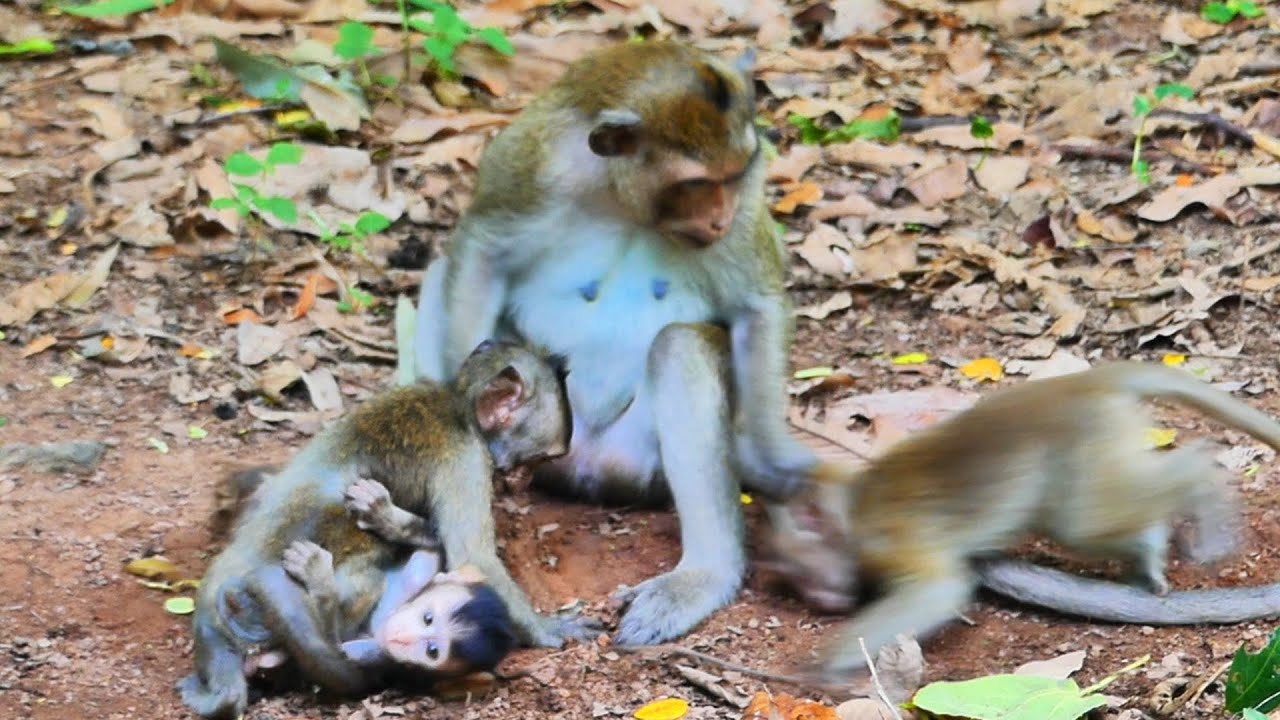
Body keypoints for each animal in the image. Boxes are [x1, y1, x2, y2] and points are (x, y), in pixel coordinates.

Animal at [177, 340, 586, 719]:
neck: (456, 402)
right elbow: (474, 556)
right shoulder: (467, 456)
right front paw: (549, 629)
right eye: (537, 460)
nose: (523, 483)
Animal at [412, 39, 855, 648]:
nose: (719, 218)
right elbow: (481, 252)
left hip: (639, 463)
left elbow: (755, 306)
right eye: (695, 184)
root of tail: (585, 464)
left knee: (681, 347)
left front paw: (772, 459)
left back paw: (702, 576)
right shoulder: (528, 168)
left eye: (734, 176)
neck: (618, 195)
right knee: (441, 268)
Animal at [761, 362, 1280, 682]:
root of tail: (1083, 383)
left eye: (796, 570)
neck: (855, 507)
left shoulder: (888, 539)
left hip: (1086, 436)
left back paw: (1200, 477)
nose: (819, 600)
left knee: (1082, 521)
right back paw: (1148, 549)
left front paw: (829, 665)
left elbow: (939, 591)